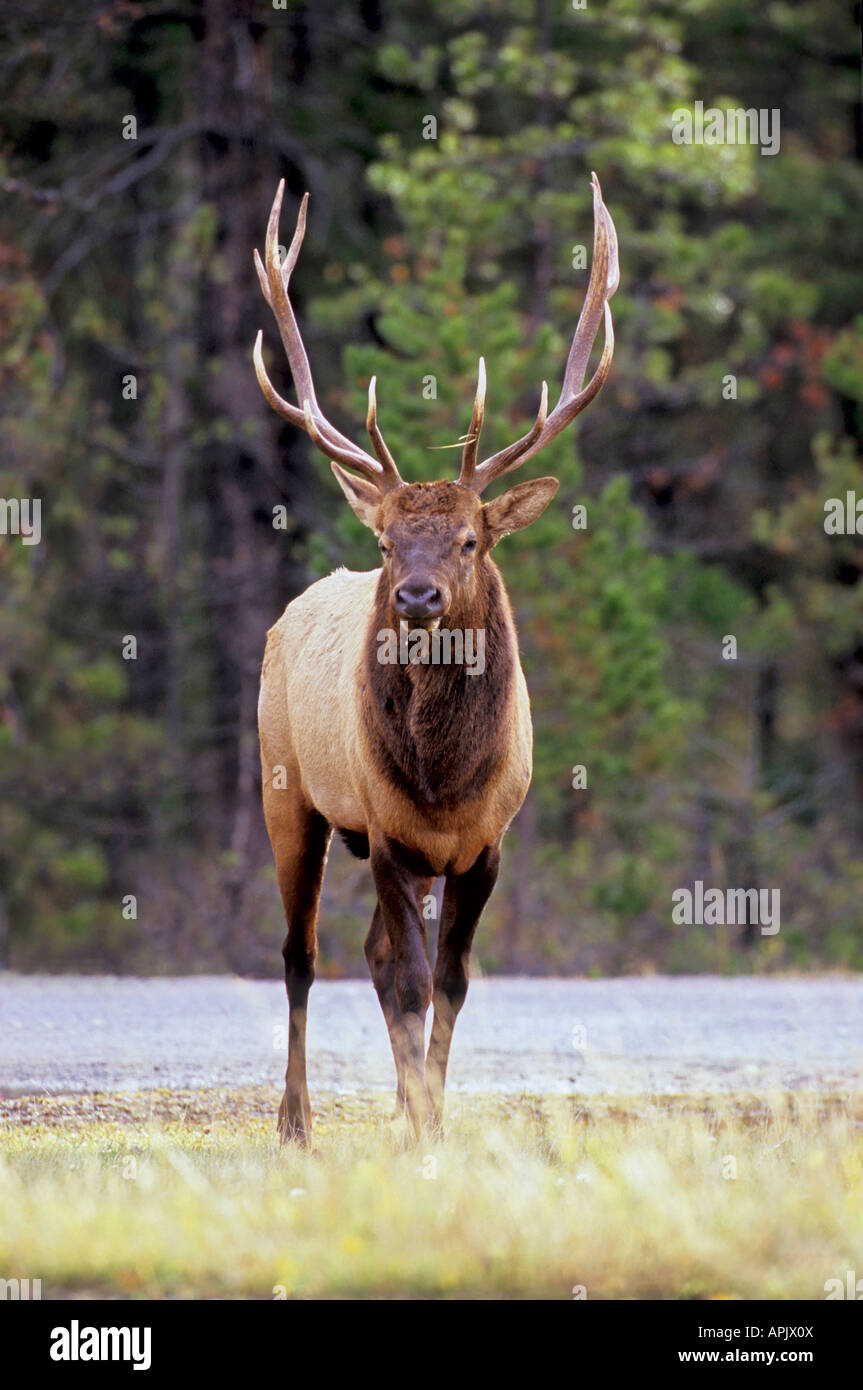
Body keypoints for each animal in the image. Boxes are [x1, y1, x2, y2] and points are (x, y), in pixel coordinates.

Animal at [252, 174, 618, 1144]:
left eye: (468, 540)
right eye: (386, 542)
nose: (415, 598)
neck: (444, 780)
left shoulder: (485, 843)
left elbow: (448, 983)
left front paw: (430, 1120)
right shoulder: (385, 833)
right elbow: (412, 981)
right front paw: (420, 1123)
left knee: (374, 956)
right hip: (286, 793)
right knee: (302, 954)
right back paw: (295, 1121)